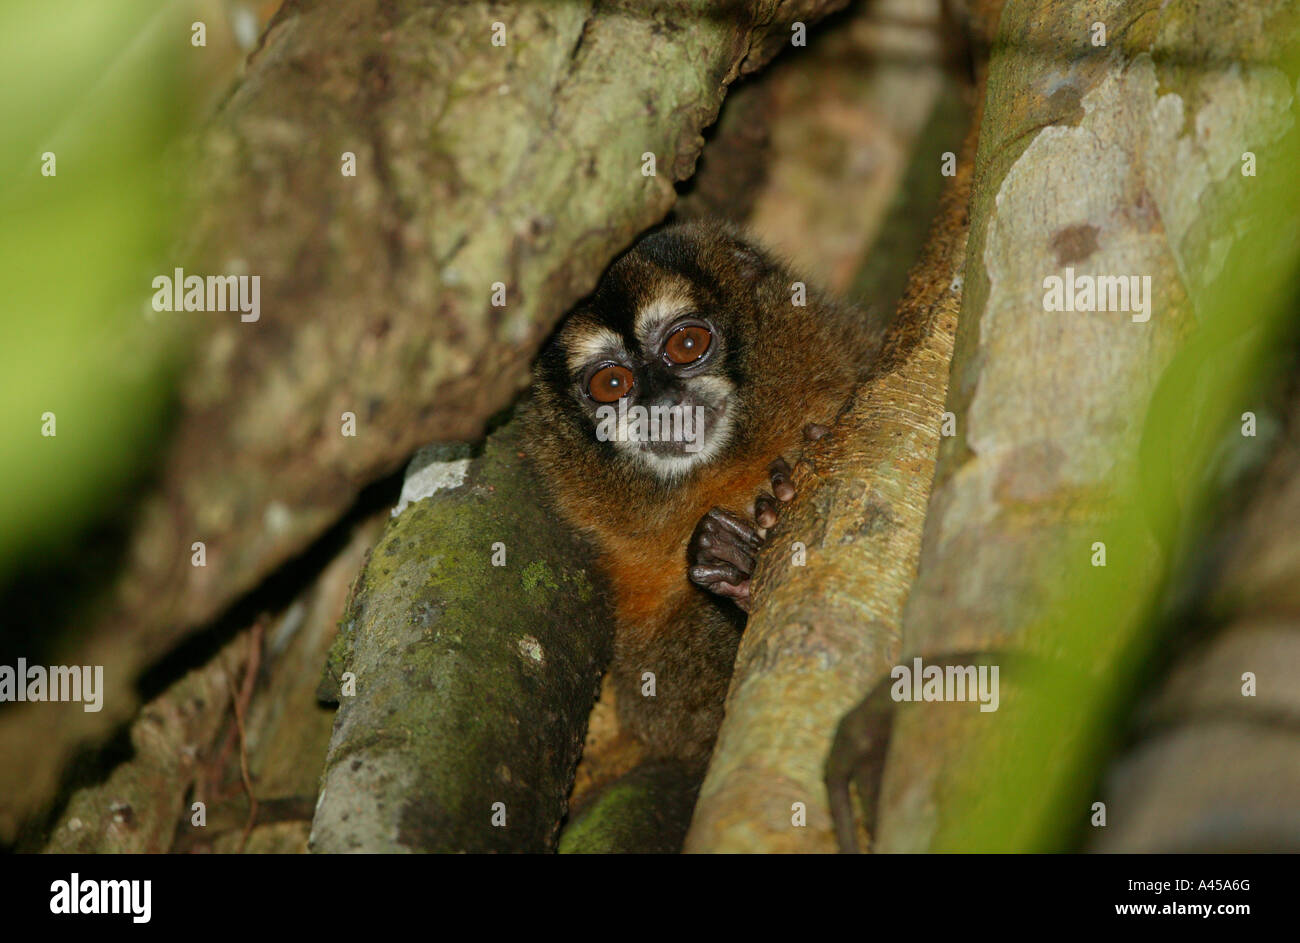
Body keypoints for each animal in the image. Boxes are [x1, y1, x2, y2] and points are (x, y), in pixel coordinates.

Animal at [524, 220, 878, 817]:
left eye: (686, 345)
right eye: (611, 385)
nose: (665, 404)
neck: (725, 468)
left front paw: (776, 501)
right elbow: (679, 717)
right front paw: (735, 568)